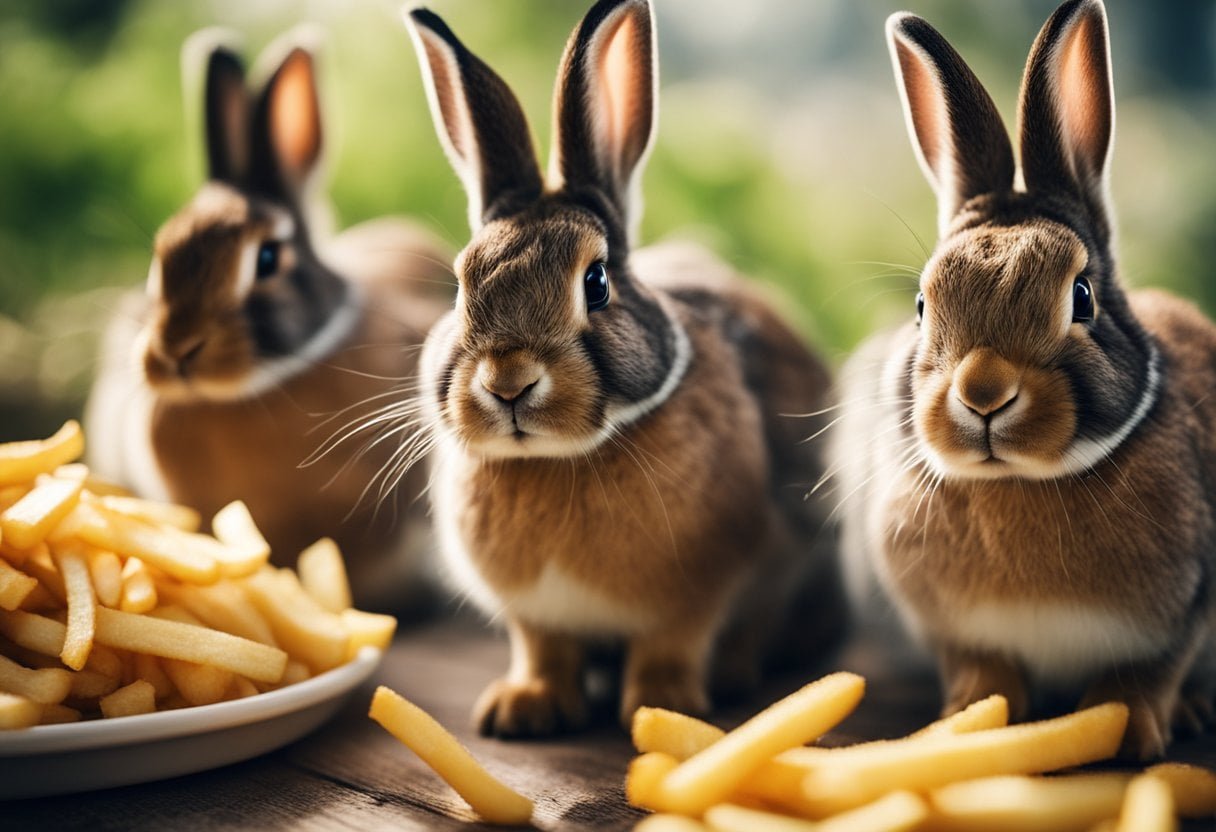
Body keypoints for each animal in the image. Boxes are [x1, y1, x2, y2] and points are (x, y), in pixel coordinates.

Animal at [403, 0, 841, 737]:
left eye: (597, 282)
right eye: (462, 285)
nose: (508, 382)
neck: (555, 462)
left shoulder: (697, 598)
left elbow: (673, 644)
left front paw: (664, 704)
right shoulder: (534, 615)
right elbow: (541, 649)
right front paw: (521, 711)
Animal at [833, 0, 1216, 759]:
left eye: (1083, 298)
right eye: (922, 307)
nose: (983, 394)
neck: (1018, 481)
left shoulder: (1186, 608)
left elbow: (1147, 674)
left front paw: (1132, 733)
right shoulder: (957, 633)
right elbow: (985, 672)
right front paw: (969, 718)